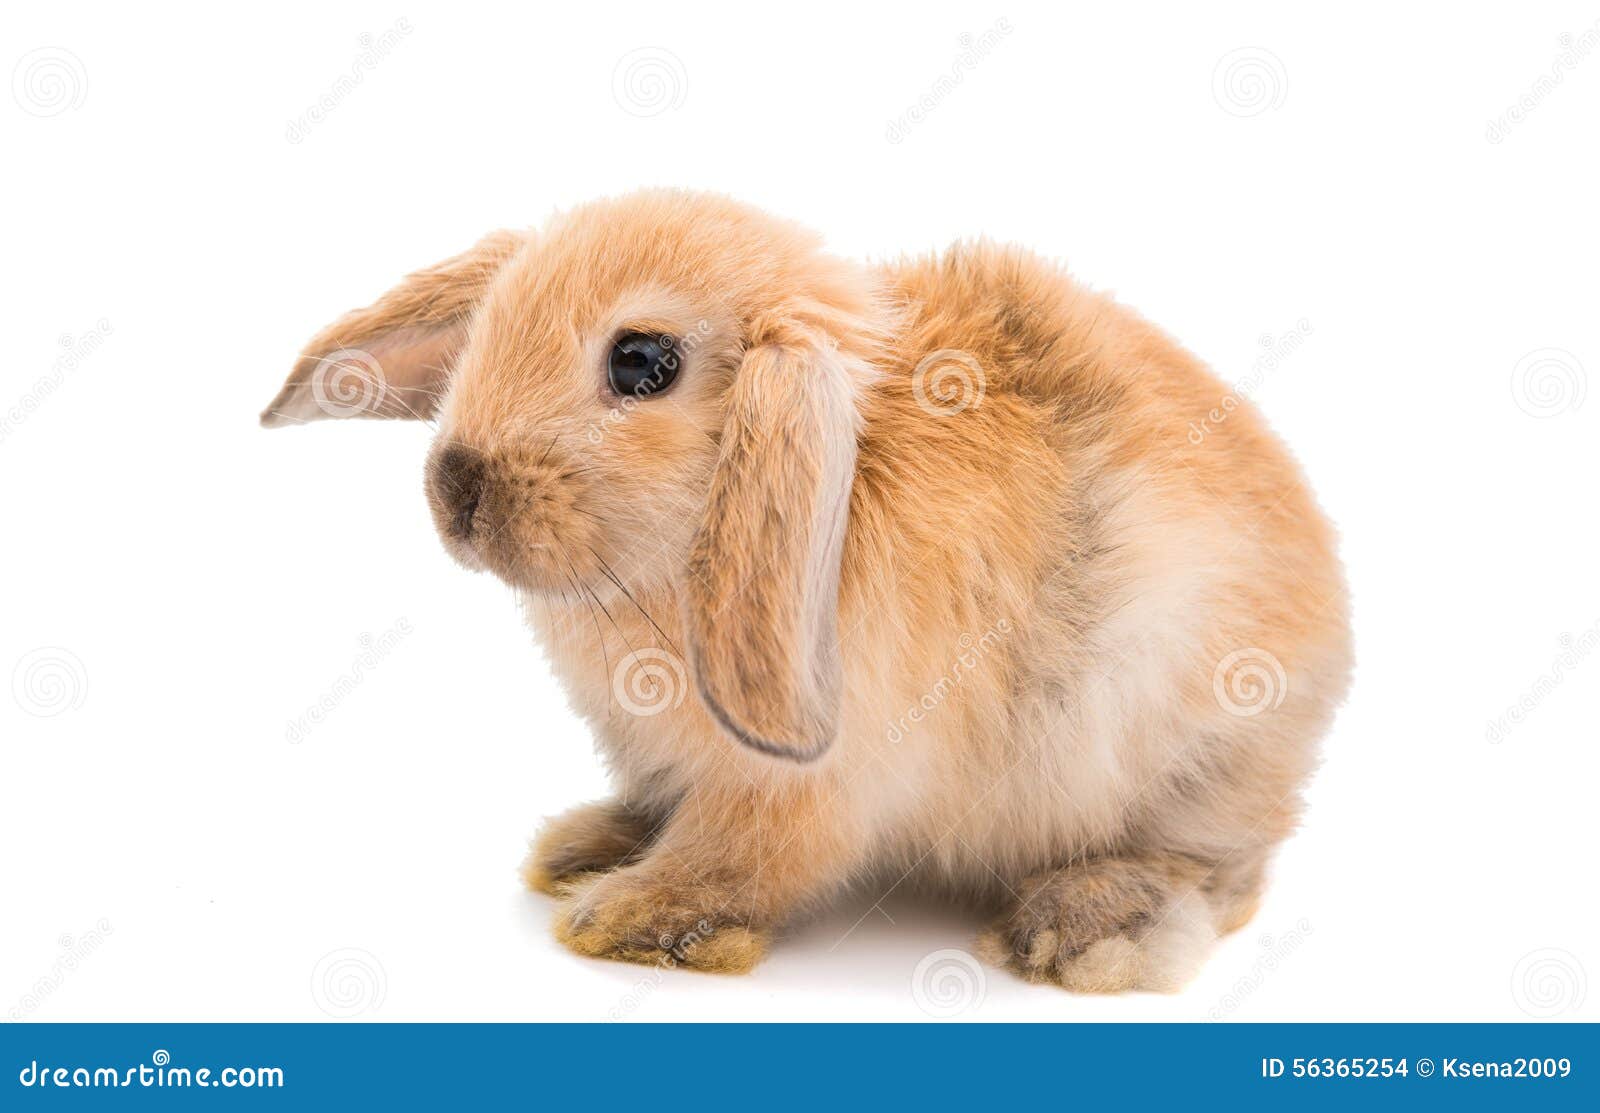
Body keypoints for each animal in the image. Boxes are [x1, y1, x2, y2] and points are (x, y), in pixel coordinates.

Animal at [261, 190, 1351, 993]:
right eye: (485, 329)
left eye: (642, 361)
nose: (457, 487)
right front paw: (591, 858)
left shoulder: (801, 785)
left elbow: (741, 857)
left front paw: (629, 920)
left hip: (1190, 750)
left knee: (1214, 871)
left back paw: (1083, 930)